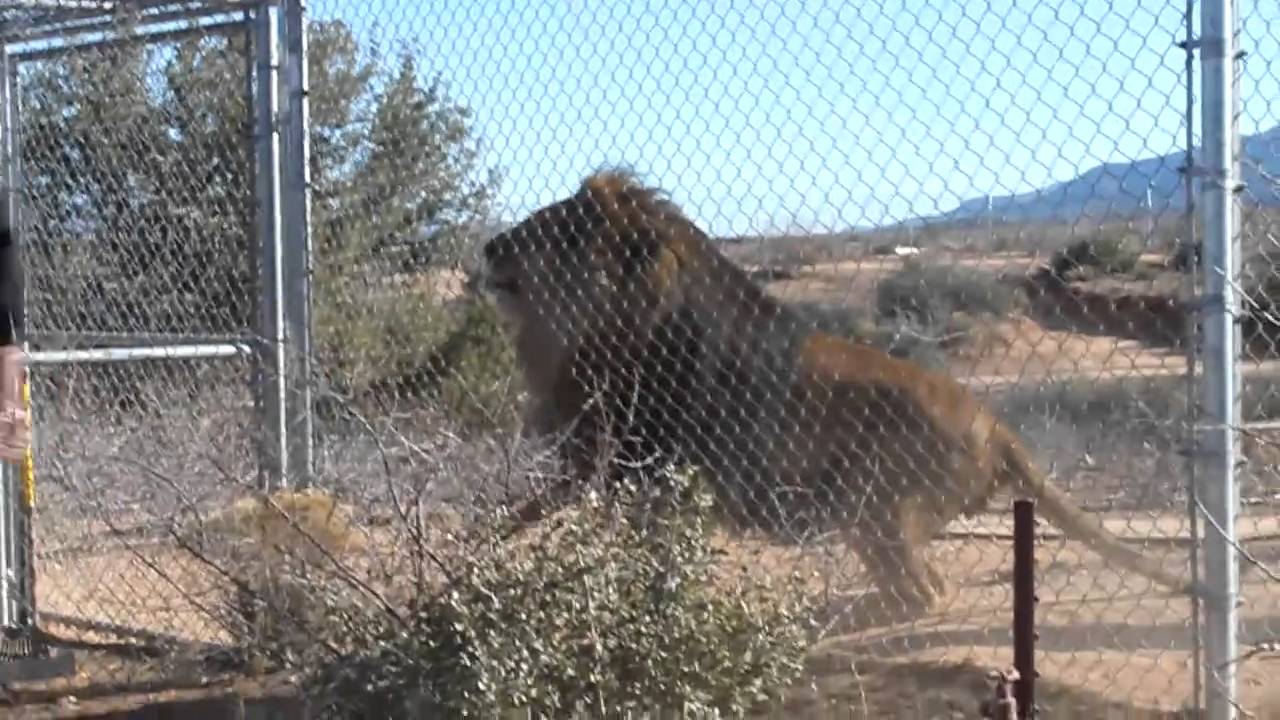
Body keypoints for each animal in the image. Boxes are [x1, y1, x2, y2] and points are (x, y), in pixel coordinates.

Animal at [477, 167, 1207, 624]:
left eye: (561, 230)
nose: (490, 245)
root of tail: (995, 425)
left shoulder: (649, 471)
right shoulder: (609, 461)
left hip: (877, 505)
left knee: (928, 594)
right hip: (870, 516)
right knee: (916, 589)